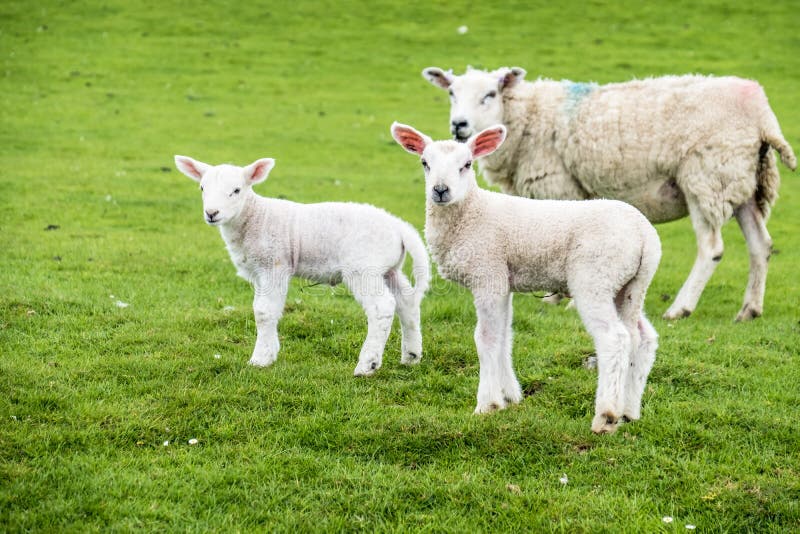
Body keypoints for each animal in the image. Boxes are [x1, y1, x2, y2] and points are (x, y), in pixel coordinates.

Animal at [174, 155, 430, 376]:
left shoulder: (274, 265)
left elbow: (264, 311)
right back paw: (411, 356)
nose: (211, 213)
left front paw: (260, 359)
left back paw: (368, 364)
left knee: (382, 307)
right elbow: (262, 308)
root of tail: (399, 226)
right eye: (202, 188)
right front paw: (270, 352)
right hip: (388, 269)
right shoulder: (259, 272)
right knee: (407, 302)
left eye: (236, 190)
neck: (254, 217)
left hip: (364, 267)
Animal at [391, 122, 662, 434]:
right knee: (642, 337)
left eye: (467, 165)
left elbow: (486, 338)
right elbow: (504, 335)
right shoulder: (502, 279)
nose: (440, 190)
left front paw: (487, 404)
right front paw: (510, 396)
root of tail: (644, 234)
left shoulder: (487, 273)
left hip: (595, 276)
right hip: (631, 285)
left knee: (614, 338)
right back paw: (629, 410)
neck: (472, 212)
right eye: (425, 163)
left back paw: (606, 416)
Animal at [422, 66, 797, 321]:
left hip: (706, 176)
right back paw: (749, 309)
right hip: (741, 181)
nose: (459, 125)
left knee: (712, 249)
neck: (528, 118)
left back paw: (680, 308)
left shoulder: (559, 185)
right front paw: (556, 297)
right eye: (451, 93)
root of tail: (760, 111)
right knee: (760, 245)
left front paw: (561, 299)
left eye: (490, 94)